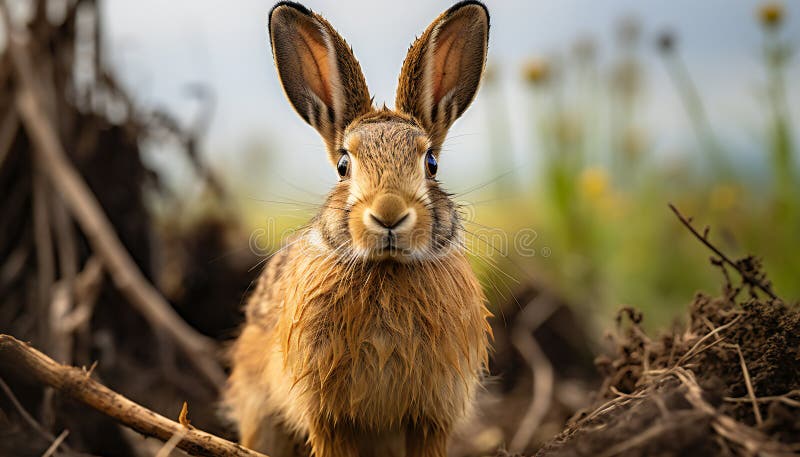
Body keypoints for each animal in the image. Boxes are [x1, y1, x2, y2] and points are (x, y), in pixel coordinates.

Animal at [224, 1, 492, 456]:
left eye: (431, 164)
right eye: (343, 166)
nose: (389, 213)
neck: (386, 267)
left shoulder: (433, 412)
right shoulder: (327, 414)